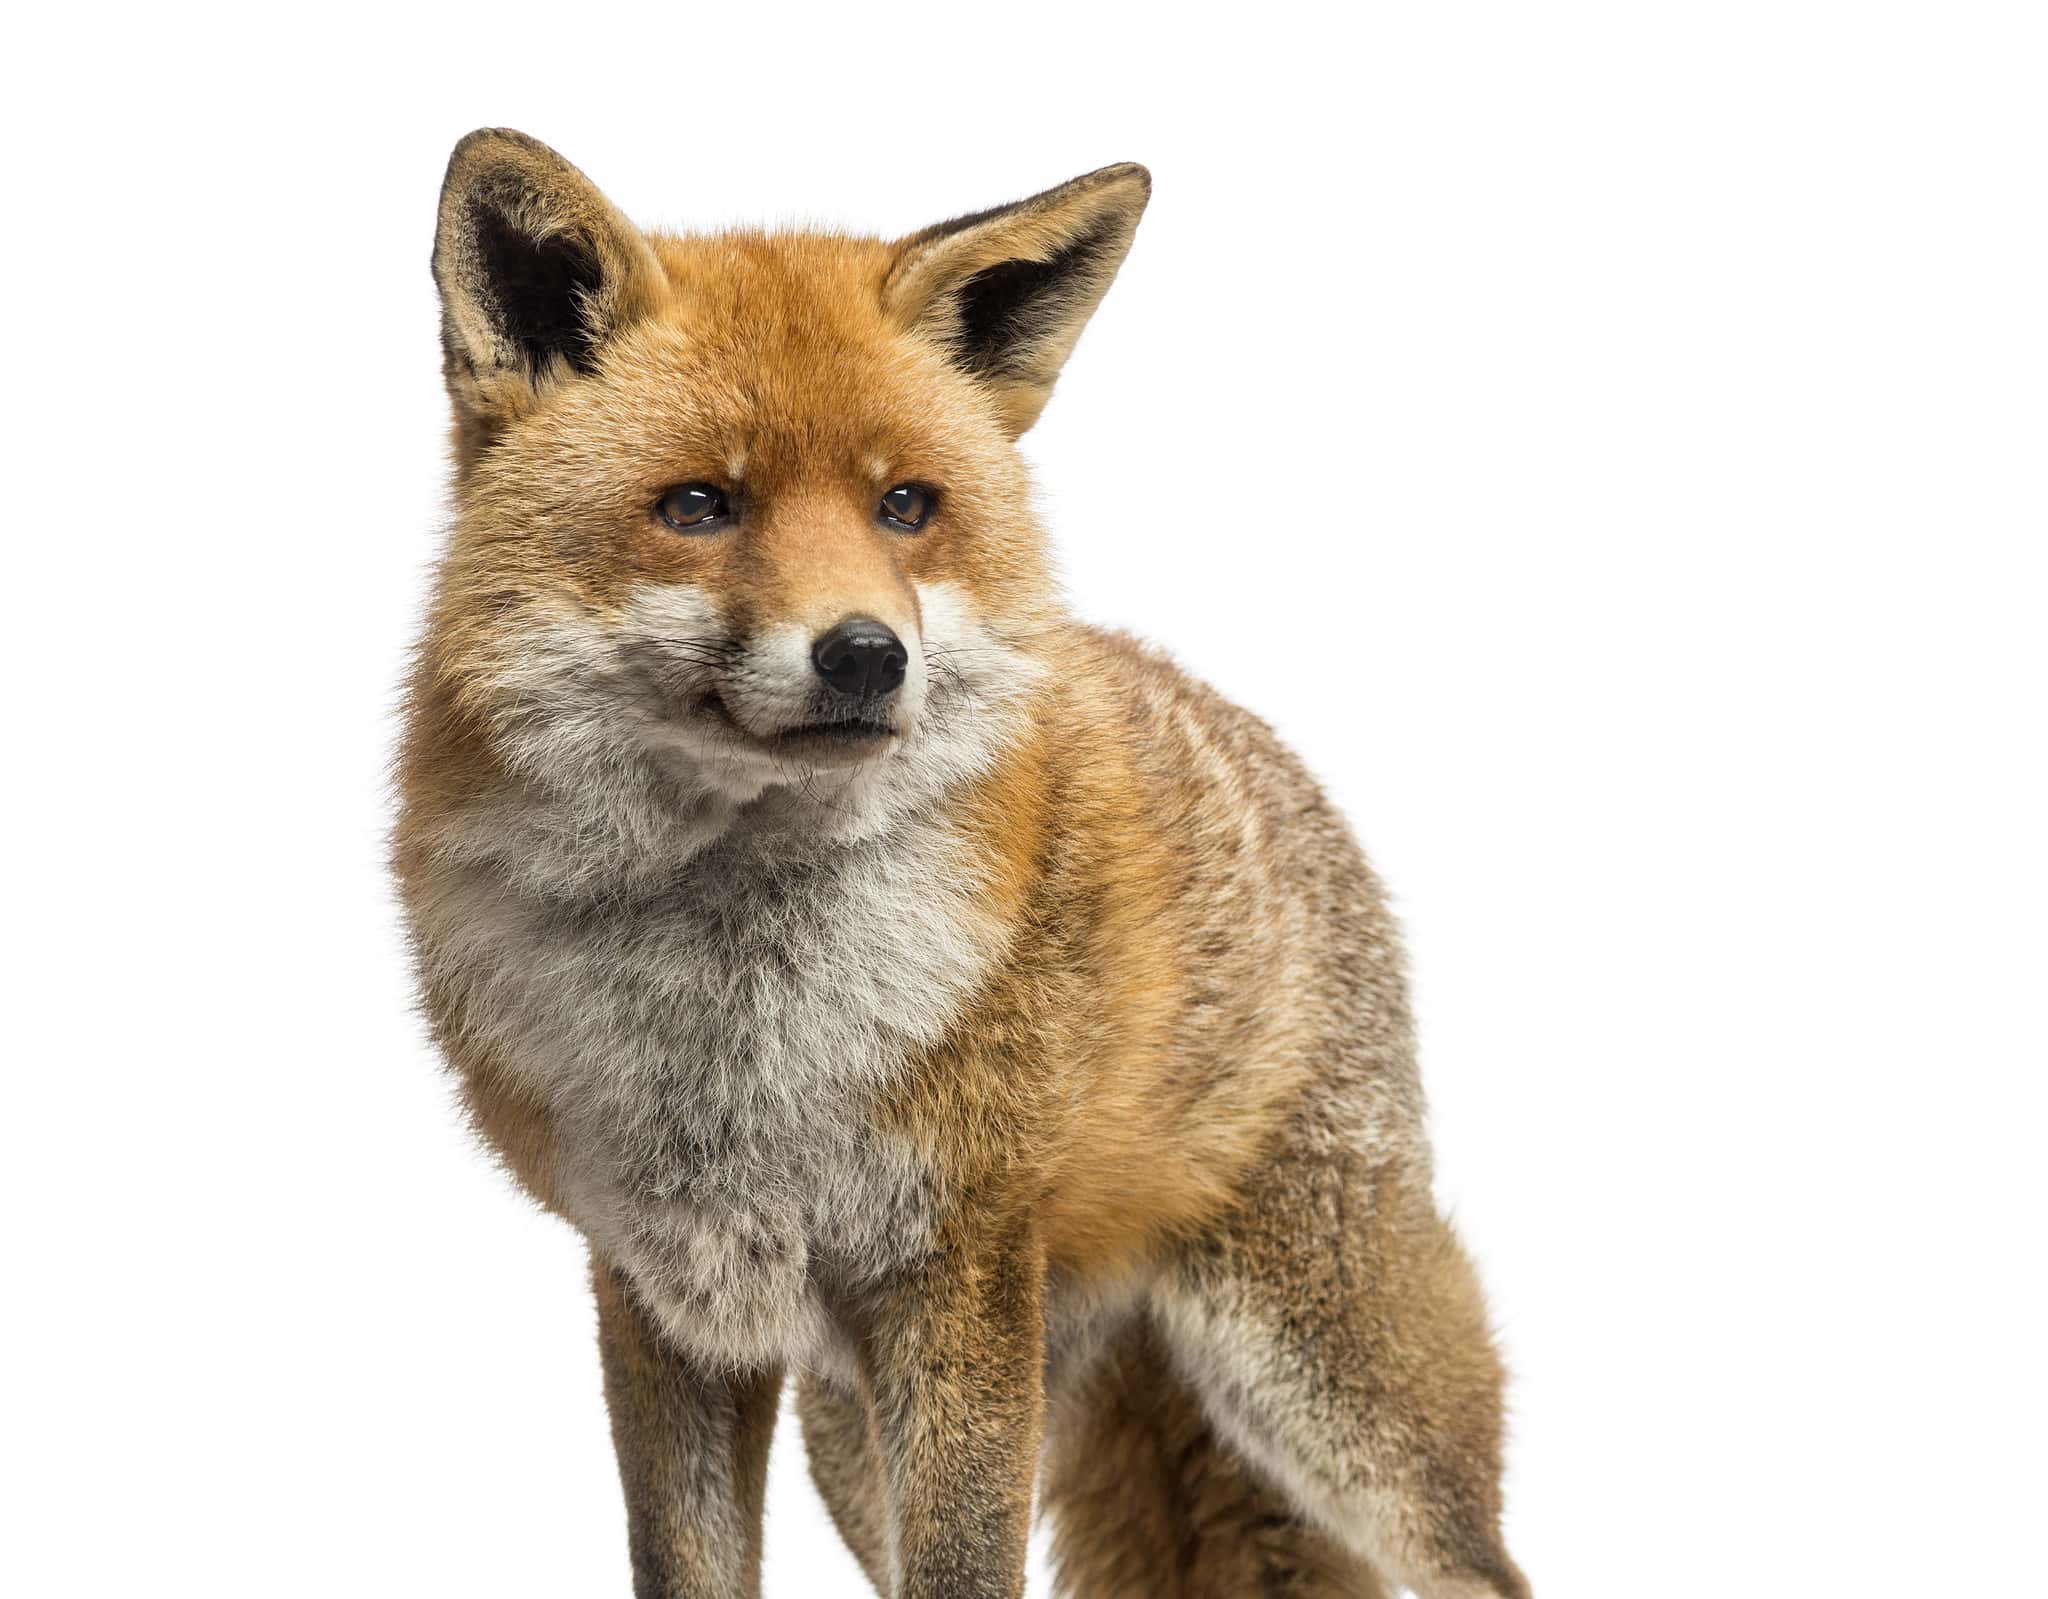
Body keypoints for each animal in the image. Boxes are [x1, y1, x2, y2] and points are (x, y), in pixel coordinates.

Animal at [394, 128, 1530, 1599]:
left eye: (903, 506)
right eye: (699, 504)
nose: (866, 654)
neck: (733, 1019)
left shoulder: (958, 1269)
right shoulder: (666, 1292)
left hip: (1329, 1384)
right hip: (855, 1426)